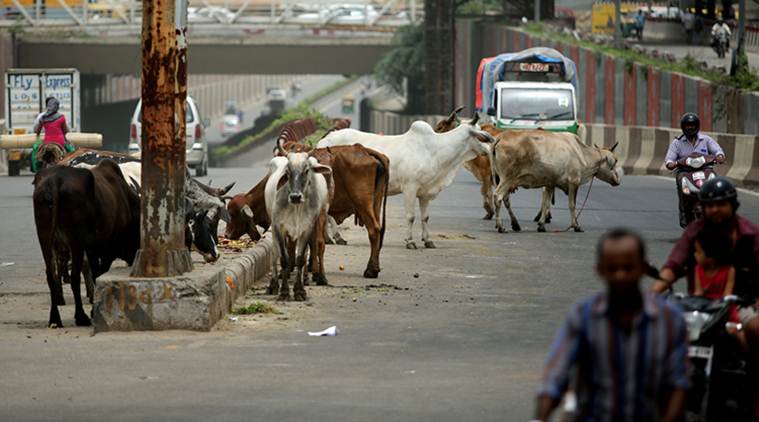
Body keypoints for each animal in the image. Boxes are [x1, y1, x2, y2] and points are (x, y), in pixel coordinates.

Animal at [33, 160, 140, 328]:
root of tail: (55, 180)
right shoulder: (106, 248)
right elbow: (98, 273)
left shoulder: (92, 248)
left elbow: (94, 272)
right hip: (75, 240)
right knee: (75, 277)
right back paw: (81, 317)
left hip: (45, 237)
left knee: (51, 276)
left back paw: (55, 319)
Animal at [265, 152, 332, 301]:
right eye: (287, 172)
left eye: (306, 170)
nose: (295, 197)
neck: (297, 208)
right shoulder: (278, 227)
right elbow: (284, 259)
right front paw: (284, 292)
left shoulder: (307, 228)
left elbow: (300, 258)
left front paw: (299, 291)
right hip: (273, 225)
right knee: (274, 253)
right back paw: (273, 285)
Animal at [318, 120, 494, 249]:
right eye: (481, 137)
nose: (491, 148)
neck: (435, 150)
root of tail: (324, 141)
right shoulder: (410, 188)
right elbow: (411, 216)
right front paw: (410, 241)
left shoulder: (425, 193)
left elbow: (425, 217)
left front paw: (428, 240)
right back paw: (334, 238)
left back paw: (332, 238)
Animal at [490, 130, 621, 233]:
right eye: (615, 161)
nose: (618, 180)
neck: (582, 153)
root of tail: (500, 137)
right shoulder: (574, 182)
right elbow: (572, 205)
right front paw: (576, 226)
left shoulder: (550, 183)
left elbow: (546, 203)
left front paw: (541, 225)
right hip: (507, 178)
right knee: (498, 196)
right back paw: (501, 227)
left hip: (501, 179)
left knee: (505, 199)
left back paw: (512, 224)